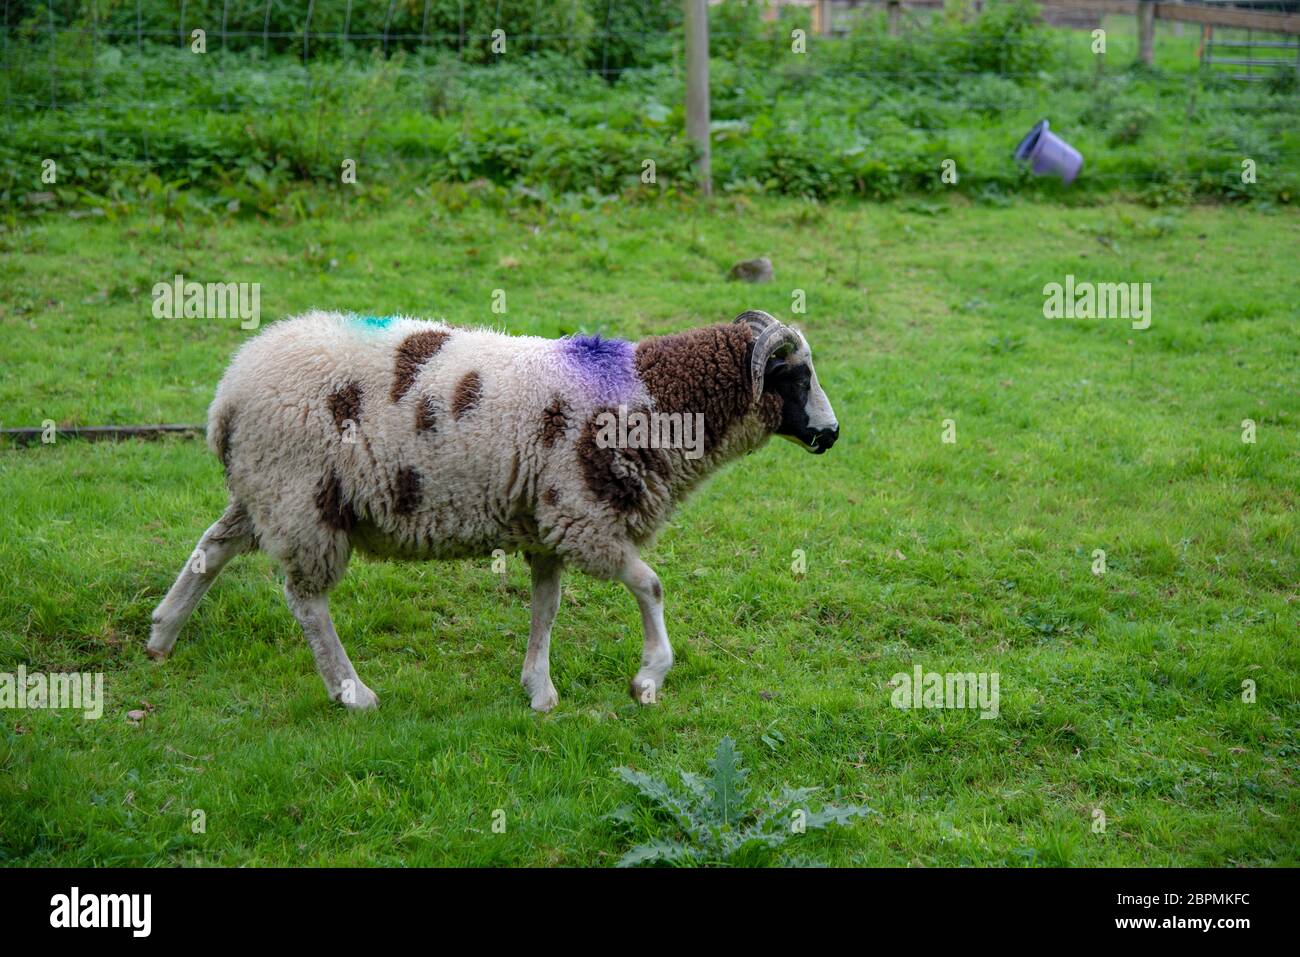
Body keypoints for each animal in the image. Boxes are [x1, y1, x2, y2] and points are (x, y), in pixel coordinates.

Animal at [147, 309, 840, 712]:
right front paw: (649, 678)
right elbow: (652, 585)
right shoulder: (582, 515)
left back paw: (162, 635)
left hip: (269, 489)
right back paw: (352, 692)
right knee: (306, 600)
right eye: (797, 375)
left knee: (212, 547)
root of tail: (229, 393)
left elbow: (546, 607)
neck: (653, 396)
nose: (831, 434)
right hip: (303, 499)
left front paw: (539, 690)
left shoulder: (548, 524)